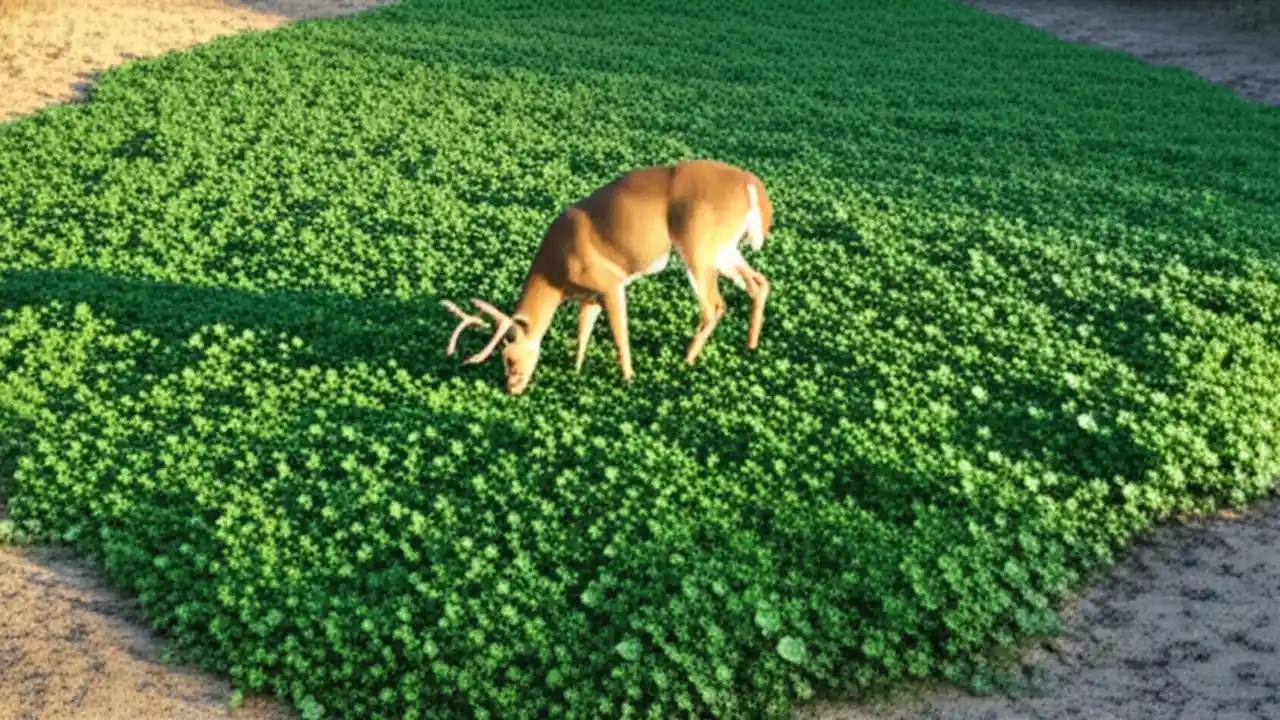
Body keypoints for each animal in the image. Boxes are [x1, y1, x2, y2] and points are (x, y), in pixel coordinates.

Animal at [440, 159, 774, 396]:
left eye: (509, 357)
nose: (512, 388)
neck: (556, 274)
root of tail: (752, 185)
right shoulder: (590, 295)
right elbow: (583, 331)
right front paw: (576, 369)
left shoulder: (611, 283)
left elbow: (619, 333)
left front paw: (628, 378)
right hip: (724, 249)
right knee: (759, 283)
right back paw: (751, 346)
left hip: (698, 246)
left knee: (714, 305)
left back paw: (687, 360)